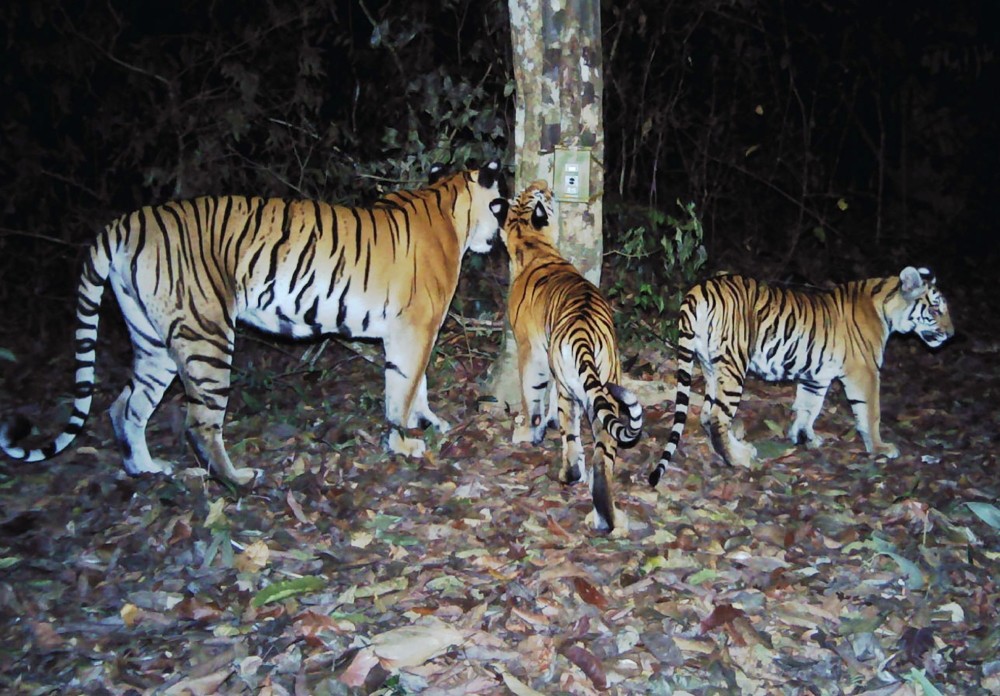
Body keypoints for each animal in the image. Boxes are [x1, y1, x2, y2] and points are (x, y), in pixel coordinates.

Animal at [0, 161, 506, 486]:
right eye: (501, 203)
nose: (500, 238)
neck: (448, 205)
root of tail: (123, 224)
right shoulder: (414, 327)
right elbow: (402, 388)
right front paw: (404, 442)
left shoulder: (411, 330)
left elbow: (415, 385)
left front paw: (427, 423)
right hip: (207, 334)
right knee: (199, 422)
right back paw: (239, 479)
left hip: (152, 340)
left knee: (124, 406)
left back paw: (146, 469)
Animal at [498, 180, 643, 533]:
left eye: (537, 195)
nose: (543, 183)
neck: (532, 244)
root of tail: (583, 335)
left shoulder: (533, 351)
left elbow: (533, 398)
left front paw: (529, 431)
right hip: (607, 384)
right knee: (604, 452)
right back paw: (606, 514)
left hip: (572, 390)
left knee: (574, 441)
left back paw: (569, 475)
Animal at [647, 267, 955, 487]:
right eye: (935, 309)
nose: (951, 334)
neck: (886, 308)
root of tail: (699, 289)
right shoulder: (864, 371)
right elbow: (870, 413)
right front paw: (880, 447)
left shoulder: (815, 375)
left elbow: (808, 407)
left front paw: (804, 437)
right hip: (734, 362)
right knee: (718, 416)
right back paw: (738, 459)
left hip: (710, 364)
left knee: (708, 413)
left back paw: (739, 449)